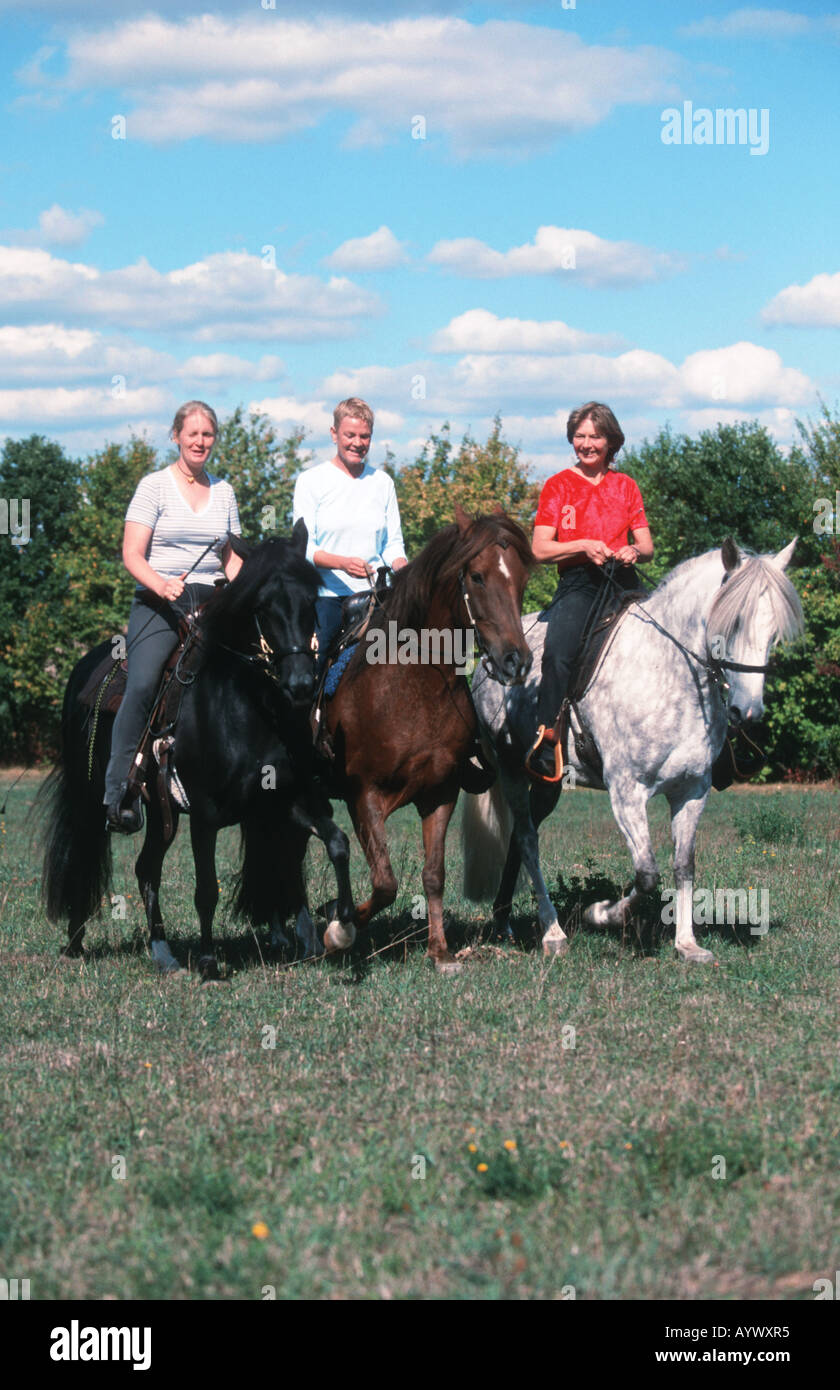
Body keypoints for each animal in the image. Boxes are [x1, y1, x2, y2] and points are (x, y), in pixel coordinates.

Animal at [41, 522, 355, 978]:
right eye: (261, 605)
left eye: (311, 601)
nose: (299, 683)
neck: (243, 708)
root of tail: (84, 666)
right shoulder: (205, 815)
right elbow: (207, 888)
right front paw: (209, 962)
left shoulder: (284, 800)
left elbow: (336, 844)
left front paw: (341, 924)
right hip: (91, 797)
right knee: (84, 856)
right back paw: (76, 942)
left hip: (160, 814)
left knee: (146, 868)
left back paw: (164, 954)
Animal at [322, 506, 534, 974]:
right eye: (477, 576)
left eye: (521, 578)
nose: (516, 660)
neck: (411, 683)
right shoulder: (363, 794)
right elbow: (385, 882)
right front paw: (339, 929)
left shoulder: (441, 791)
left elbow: (433, 874)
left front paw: (439, 952)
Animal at [462, 539, 804, 964]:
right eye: (731, 622)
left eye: (774, 630)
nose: (749, 712)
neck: (667, 672)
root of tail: (489, 663)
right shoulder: (627, 792)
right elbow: (646, 874)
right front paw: (601, 914)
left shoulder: (692, 790)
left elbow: (683, 865)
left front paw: (687, 944)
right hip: (510, 770)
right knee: (527, 839)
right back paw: (552, 931)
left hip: (548, 782)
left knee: (520, 839)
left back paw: (503, 921)